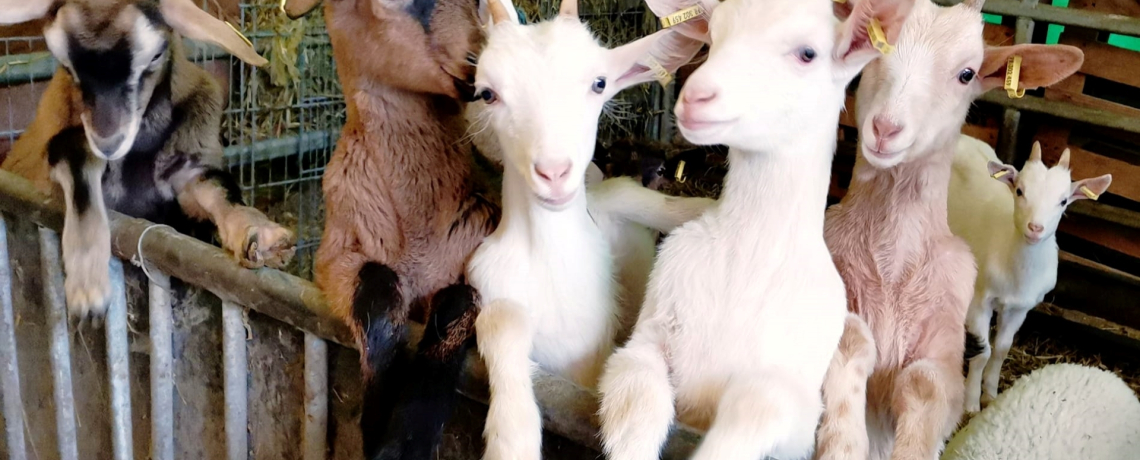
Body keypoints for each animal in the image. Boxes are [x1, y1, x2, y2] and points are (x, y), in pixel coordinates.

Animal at [0, 0, 298, 321]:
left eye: (155, 55)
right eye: (66, 65)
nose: (109, 142)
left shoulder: (187, 166)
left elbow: (218, 190)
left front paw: (263, 237)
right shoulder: (60, 147)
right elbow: (80, 173)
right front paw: (87, 283)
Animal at [282, 0, 501, 455]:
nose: (483, 61)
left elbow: (457, 308)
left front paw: (406, 440)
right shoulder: (333, 260)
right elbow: (377, 290)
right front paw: (376, 421)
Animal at [467, 1, 706, 457]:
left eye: (599, 83)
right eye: (487, 93)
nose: (554, 172)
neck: (552, 260)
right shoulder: (484, 285)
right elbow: (499, 321)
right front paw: (512, 435)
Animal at [597, 0, 916, 457]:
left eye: (808, 53)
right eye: (713, 35)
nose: (696, 96)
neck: (746, 256)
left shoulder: (797, 416)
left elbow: (760, 402)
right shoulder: (650, 337)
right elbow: (634, 393)